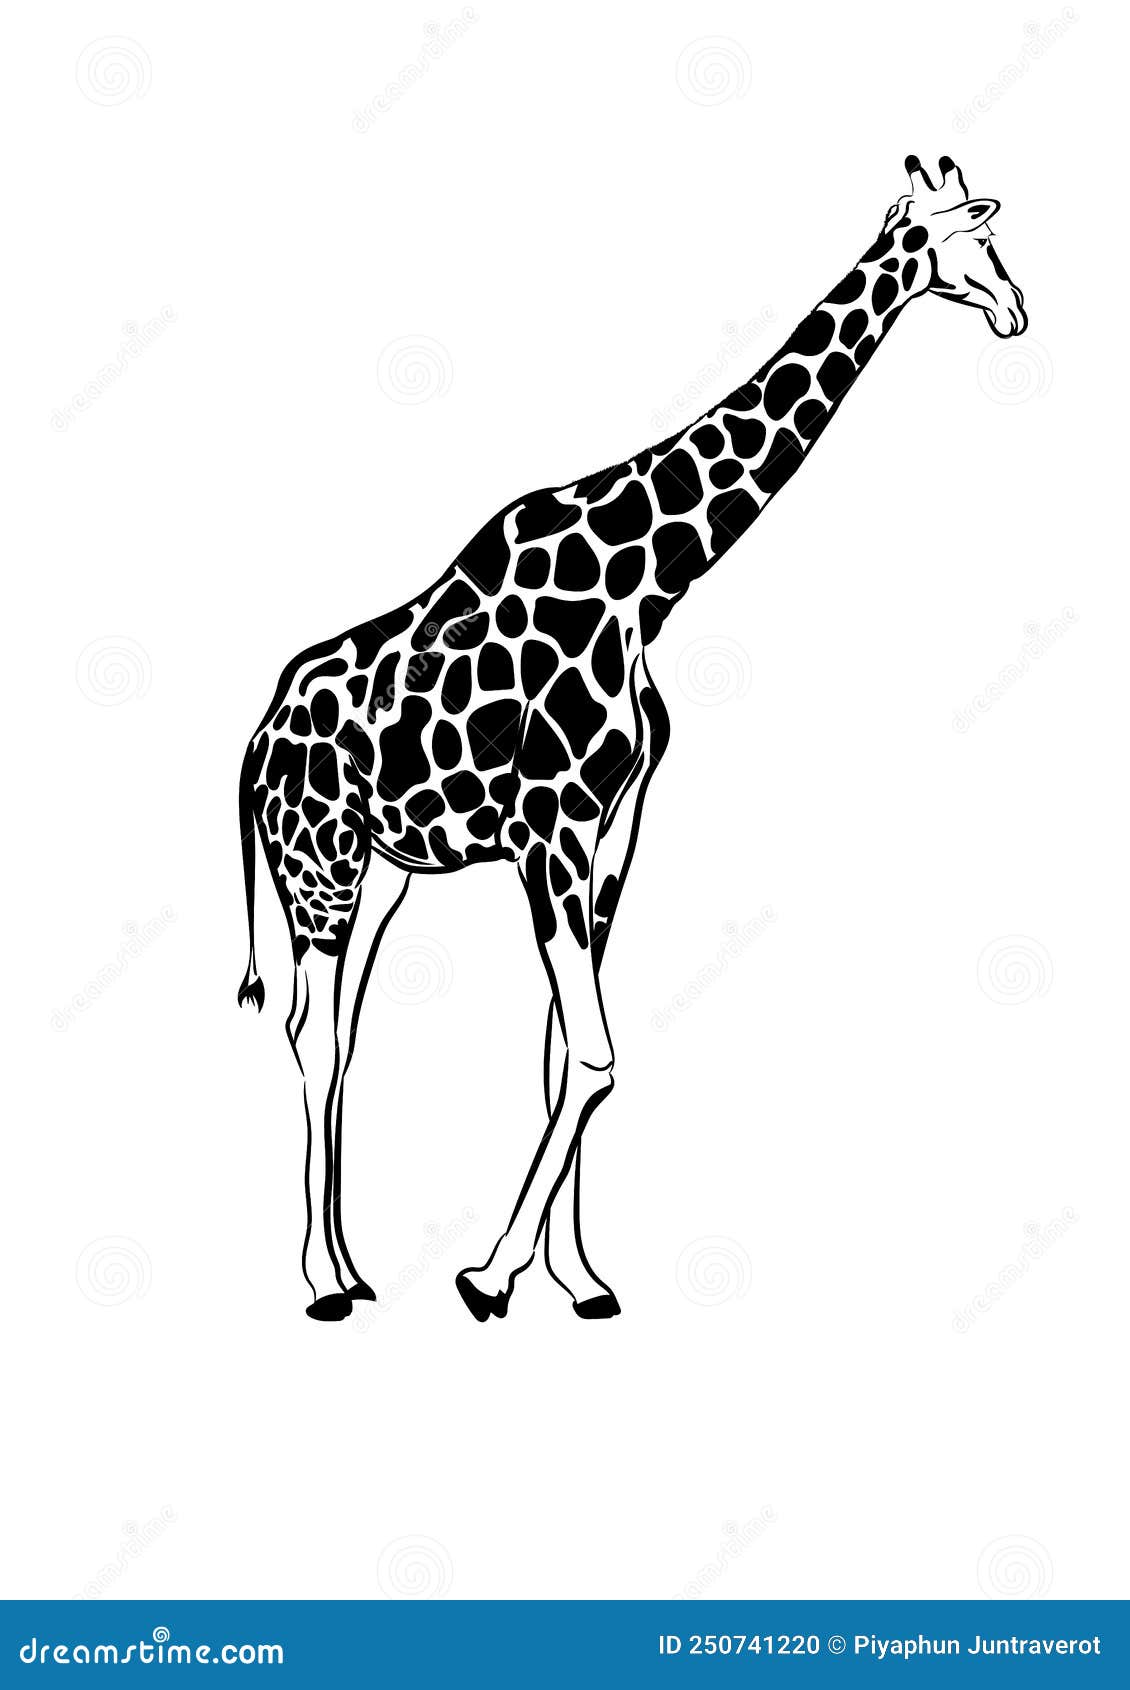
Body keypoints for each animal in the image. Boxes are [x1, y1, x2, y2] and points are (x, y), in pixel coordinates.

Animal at [238, 155, 1026, 1322]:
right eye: (971, 238)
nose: (1017, 311)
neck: (643, 585)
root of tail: (256, 737)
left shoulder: (610, 832)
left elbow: (565, 1054)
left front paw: (577, 1278)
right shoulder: (548, 832)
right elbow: (596, 1058)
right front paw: (489, 1277)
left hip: (380, 873)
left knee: (336, 1032)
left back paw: (352, 1268)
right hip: (317, 867)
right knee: (307, 1032)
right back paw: (325, 1283)